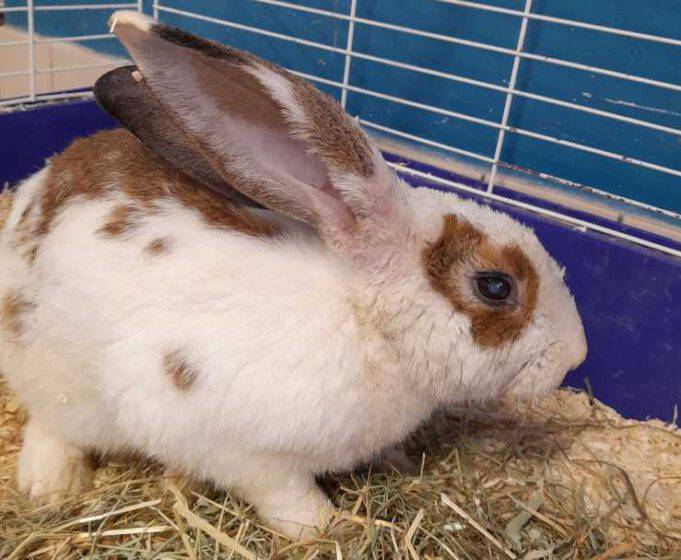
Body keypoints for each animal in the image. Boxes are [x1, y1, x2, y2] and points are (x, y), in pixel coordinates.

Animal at [0, 11, 587, 537]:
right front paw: (326, 527)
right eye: (495, 285)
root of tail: (35, 189)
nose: (575, 356)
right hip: (58, 378)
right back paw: (49, 484)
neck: (365, 323)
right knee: (51, 426)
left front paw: (397, 463)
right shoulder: (241, 451)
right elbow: (284, 495)